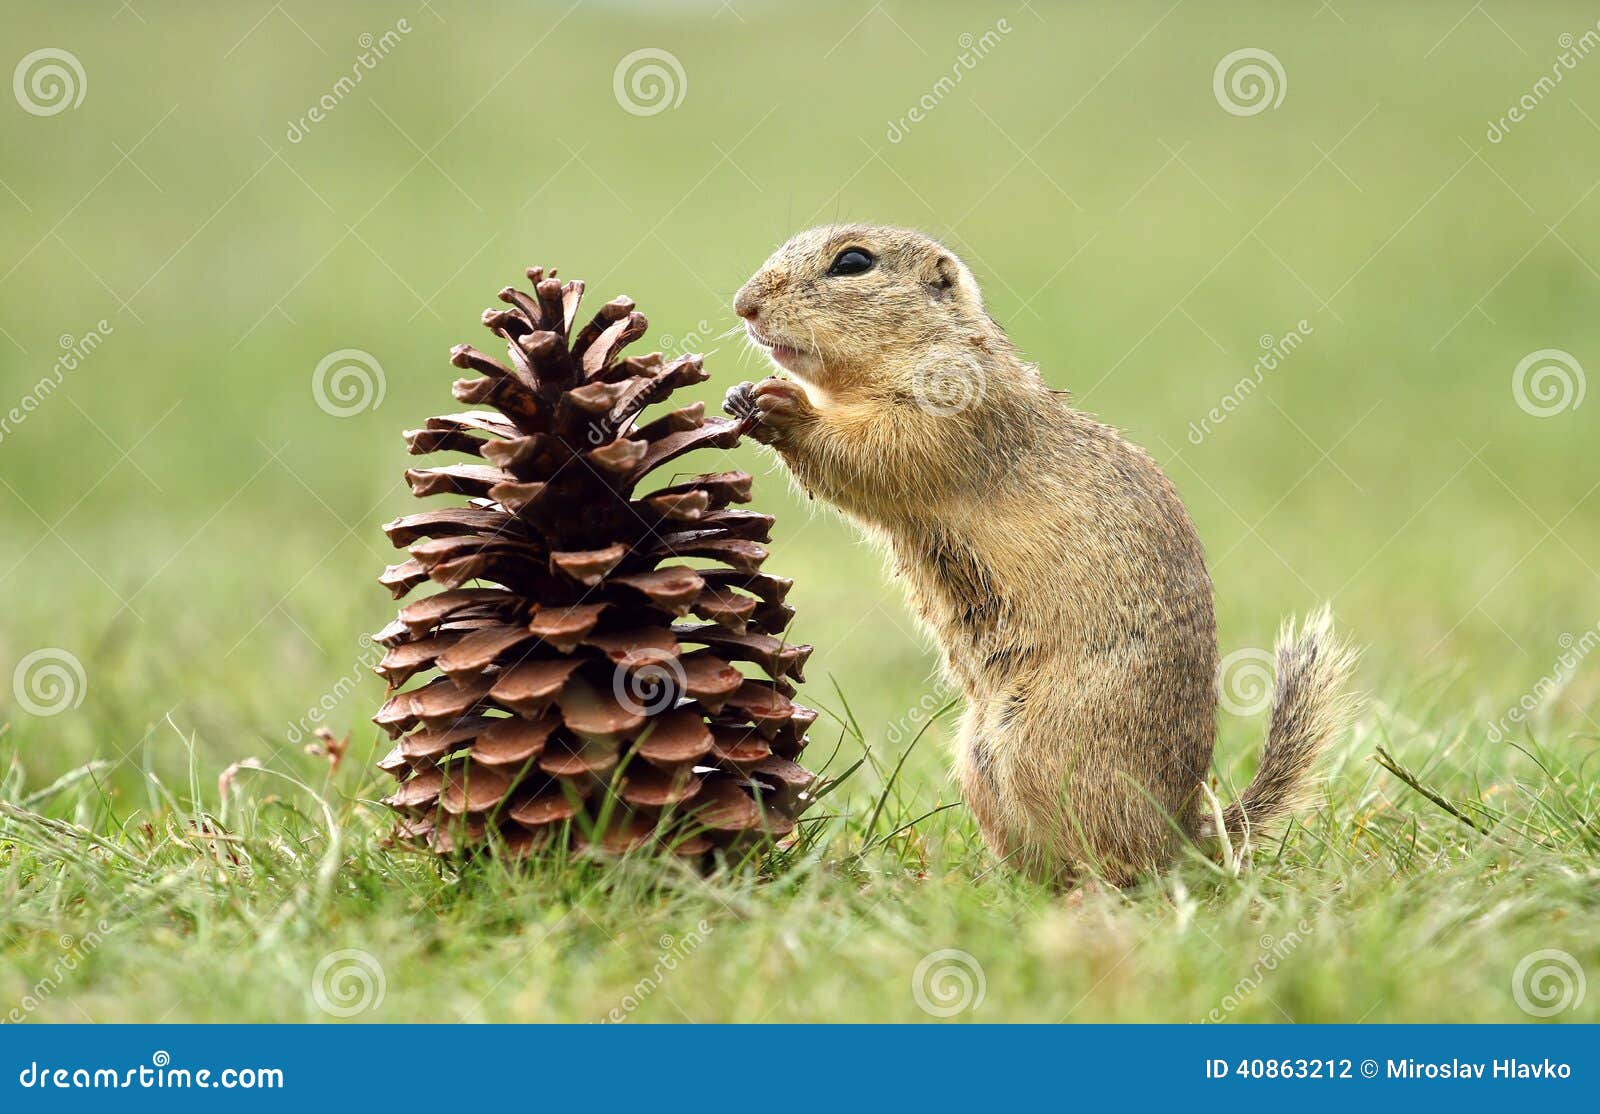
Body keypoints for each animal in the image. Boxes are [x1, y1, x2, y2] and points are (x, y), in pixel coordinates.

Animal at [722, 224, 1358, 886]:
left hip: (1049, 746)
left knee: (1124, 868)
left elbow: (874, 452)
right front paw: (742, 395)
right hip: (979, 759)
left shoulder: (950, 412)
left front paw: (786, 407)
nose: (743, 305)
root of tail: (1185, 833)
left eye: (852, 262)